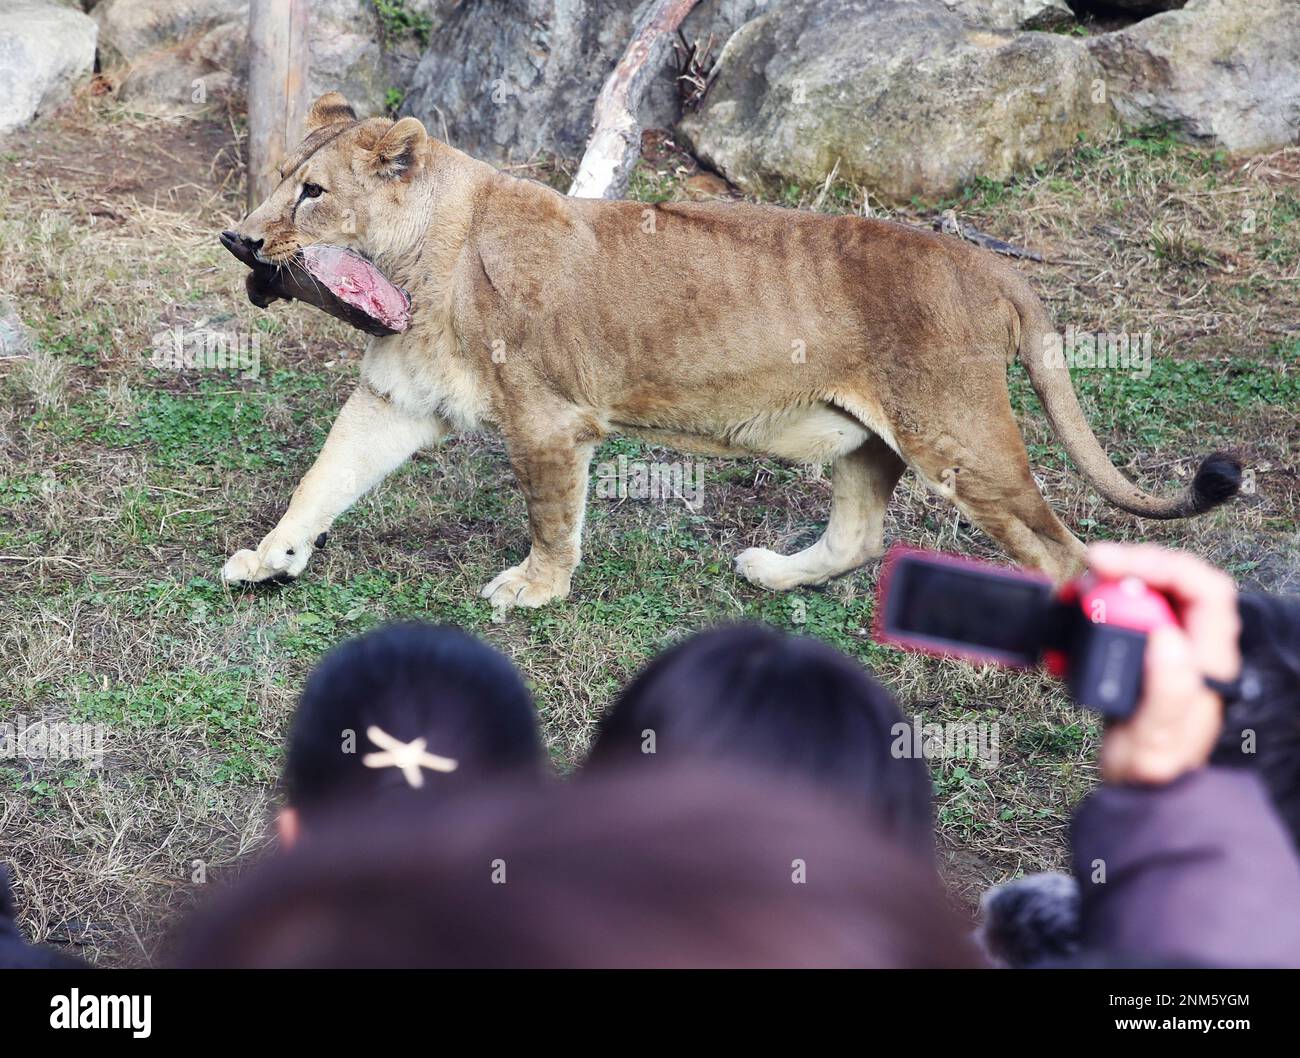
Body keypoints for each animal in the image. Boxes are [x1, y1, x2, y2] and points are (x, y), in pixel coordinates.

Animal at [220, 92, 1240, 609]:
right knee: (862, 535)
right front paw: (269, 559)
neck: (422, 264)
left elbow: (551, 519)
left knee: (1069, 555)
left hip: (960, 441)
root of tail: (984, 263)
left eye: (312, 193)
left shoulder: (550, 419)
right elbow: (323, 478)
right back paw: (772, 571)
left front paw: (533, 590)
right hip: (869, 439)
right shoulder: (395, 398)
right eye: (278, 183)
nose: (238, 241)